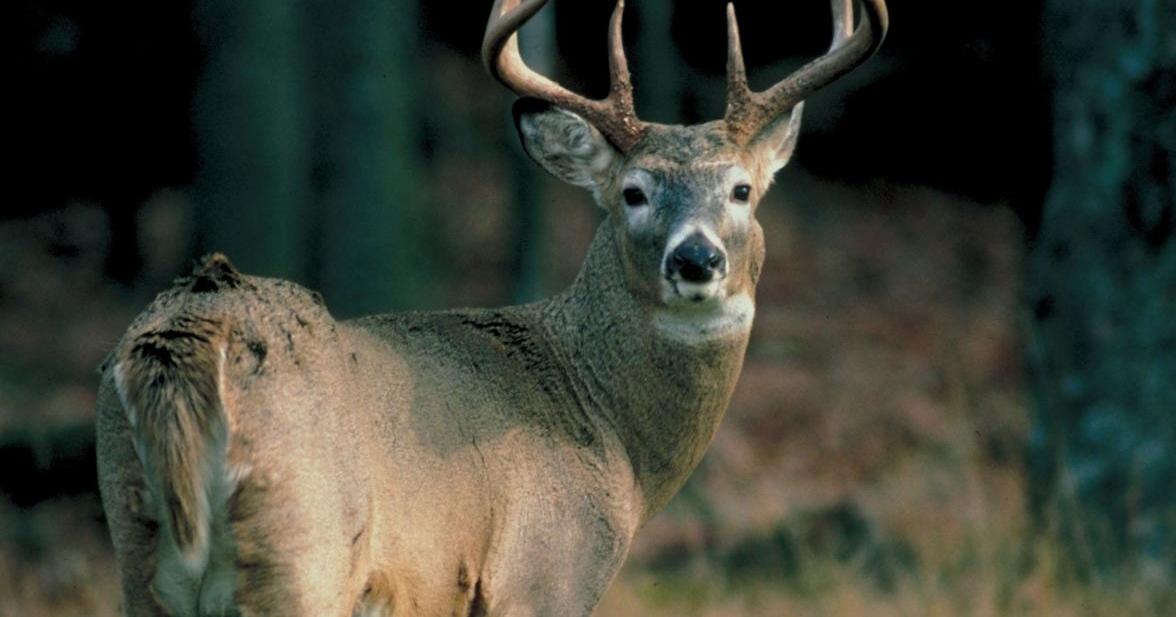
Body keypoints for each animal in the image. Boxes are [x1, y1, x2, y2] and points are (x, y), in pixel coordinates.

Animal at [95, 1, 887, 615]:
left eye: (741, 190)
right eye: (633, 192)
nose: (696, 260)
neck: (613, 433)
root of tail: (187, 335)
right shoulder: (544, 574)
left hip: (140, 556)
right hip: (302, 549)